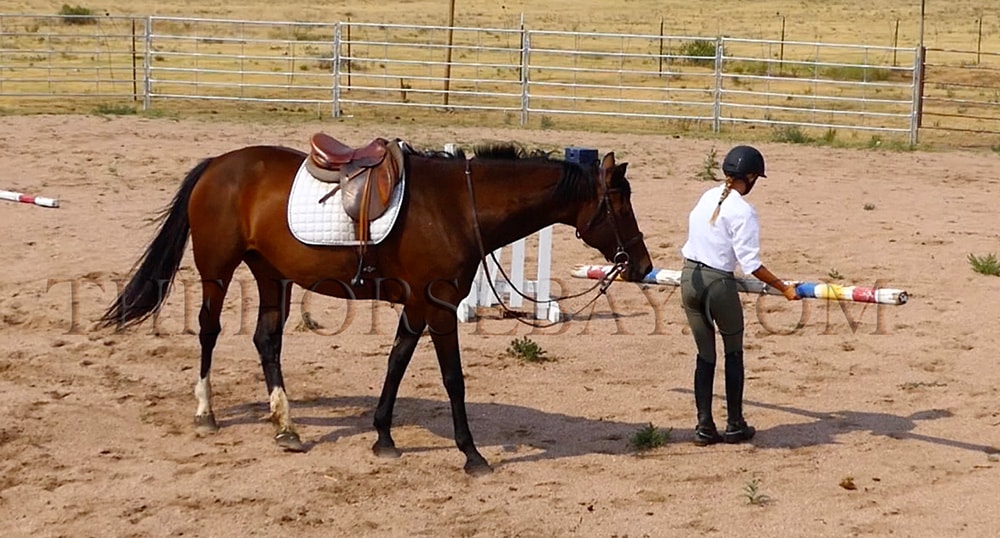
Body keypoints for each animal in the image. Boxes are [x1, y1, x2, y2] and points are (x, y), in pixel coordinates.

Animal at [101, 139, 653, 475]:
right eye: (619, 204)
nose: (641, 264)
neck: (458, 205)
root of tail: (216, 166)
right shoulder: (440, 307)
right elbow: (452, 378)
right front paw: (471, 452)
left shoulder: (417, 305)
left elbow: (396, 363)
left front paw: (383, 435)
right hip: (217, 270)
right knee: (209, 331)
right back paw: (206, 411)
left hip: (270, 274)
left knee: (266, 340)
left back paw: (286, 426)